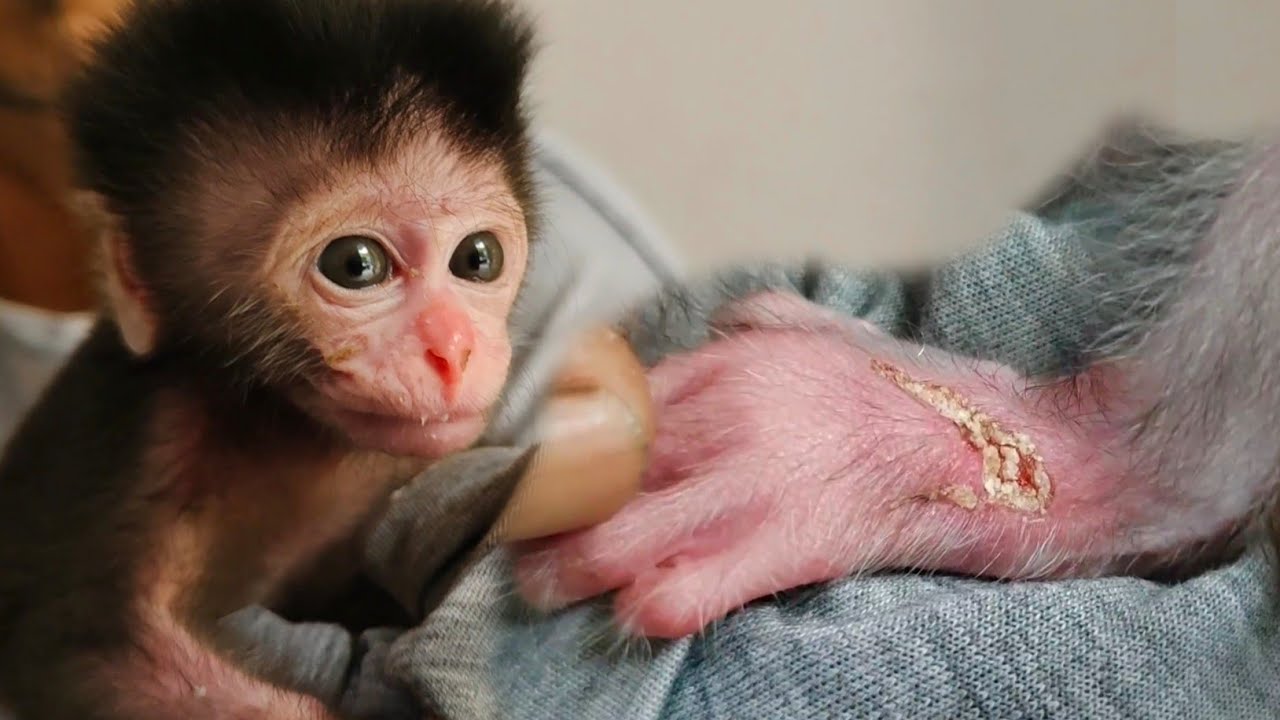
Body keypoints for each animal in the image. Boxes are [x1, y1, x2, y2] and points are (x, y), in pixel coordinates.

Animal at [0, 0, 545, 717]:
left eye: (478, 258)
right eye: (355, 264)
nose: (453, 349)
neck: (295, 432)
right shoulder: (142, 435)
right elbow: (97, 649)